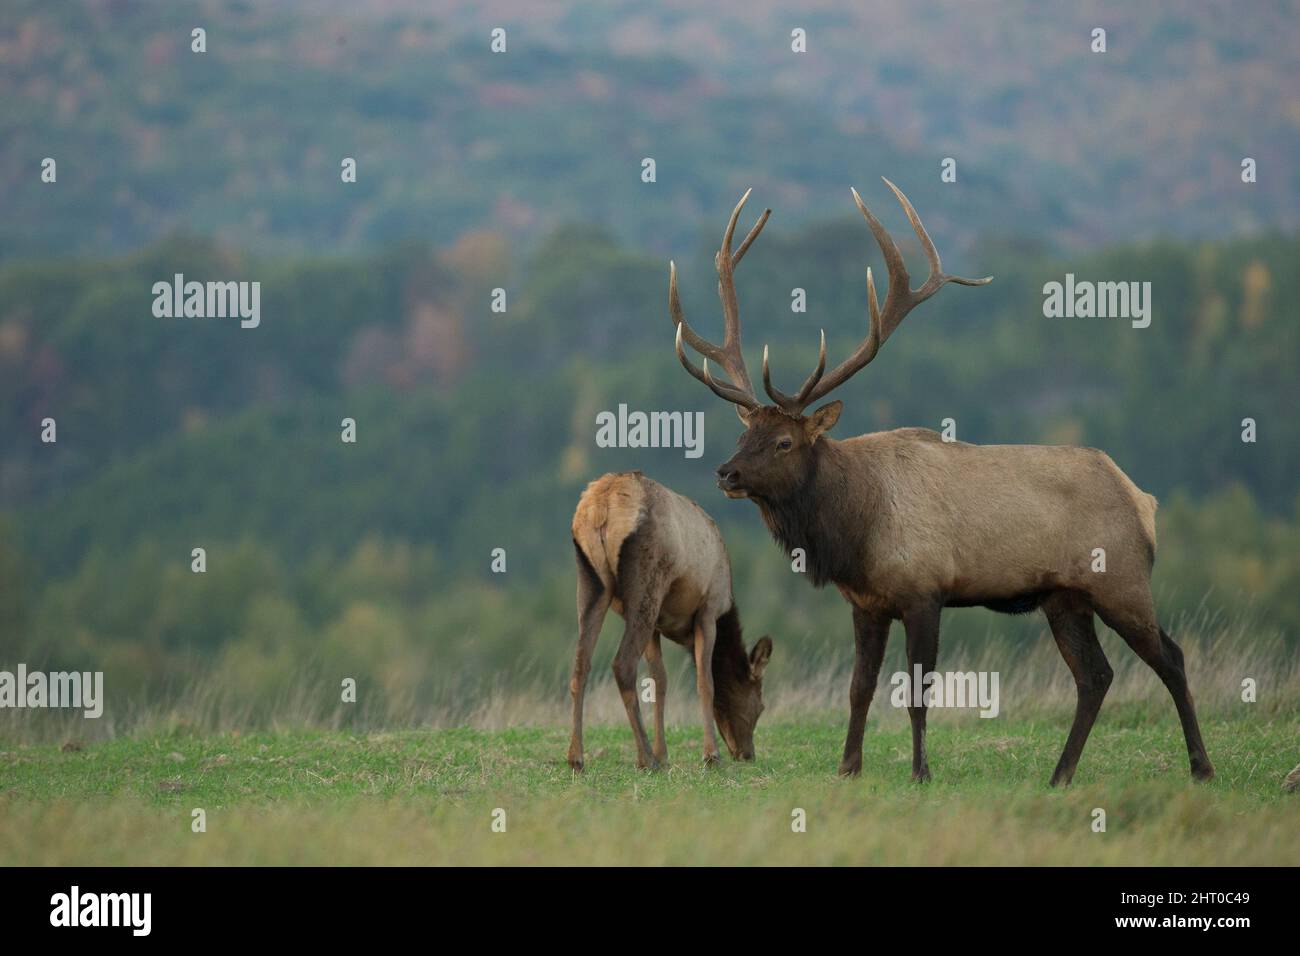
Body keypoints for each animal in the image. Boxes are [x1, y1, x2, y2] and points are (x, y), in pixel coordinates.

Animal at [568, 470, 773, 771]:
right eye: (760, 706)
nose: (747, 754)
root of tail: (602, 507)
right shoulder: (708, 610)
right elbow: (705, 681)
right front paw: (710, 755)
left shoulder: (657, 626)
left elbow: (660, 681)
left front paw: (664, 754)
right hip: (647, 583)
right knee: (622, 664)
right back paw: (645, 758)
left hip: (592, 581)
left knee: (581, 664)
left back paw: (576, 757)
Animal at [667, 180, 1214, 786]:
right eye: (745, 433)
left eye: (784, 442)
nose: (726, 472)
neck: (855, 529)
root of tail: (1145, 501)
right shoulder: (866, 602)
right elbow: (859, 689)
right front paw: (848, 767)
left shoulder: (924, 591)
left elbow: (916, 692)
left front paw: (920, 772)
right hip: (1065, 597)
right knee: (1095, 675)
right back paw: (1060, 774)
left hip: (1120, 579)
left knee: (1170, 656)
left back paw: (1201, 767)